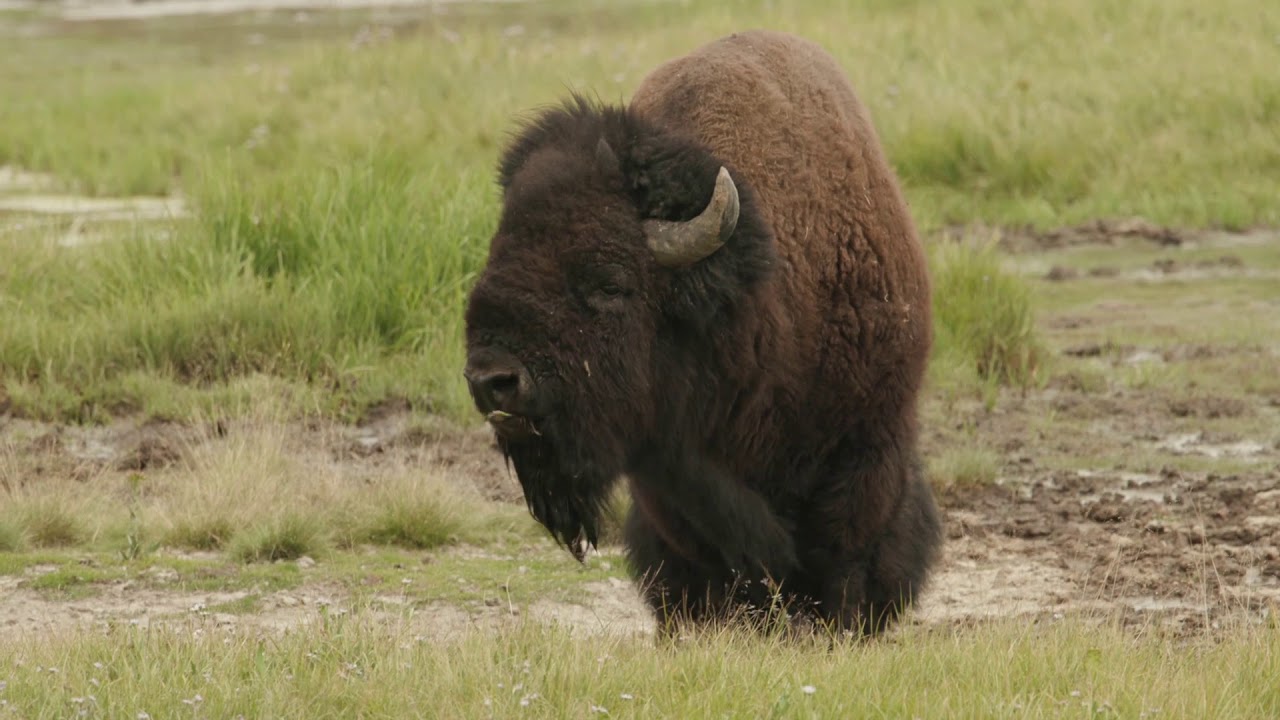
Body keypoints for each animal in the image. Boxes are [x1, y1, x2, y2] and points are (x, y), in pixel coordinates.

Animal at [463, 29, 942, 636]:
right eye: (496, 257)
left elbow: (844, 560)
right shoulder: (667, 480)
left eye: (610, 283)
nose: (491, 379)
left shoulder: (865, 451)